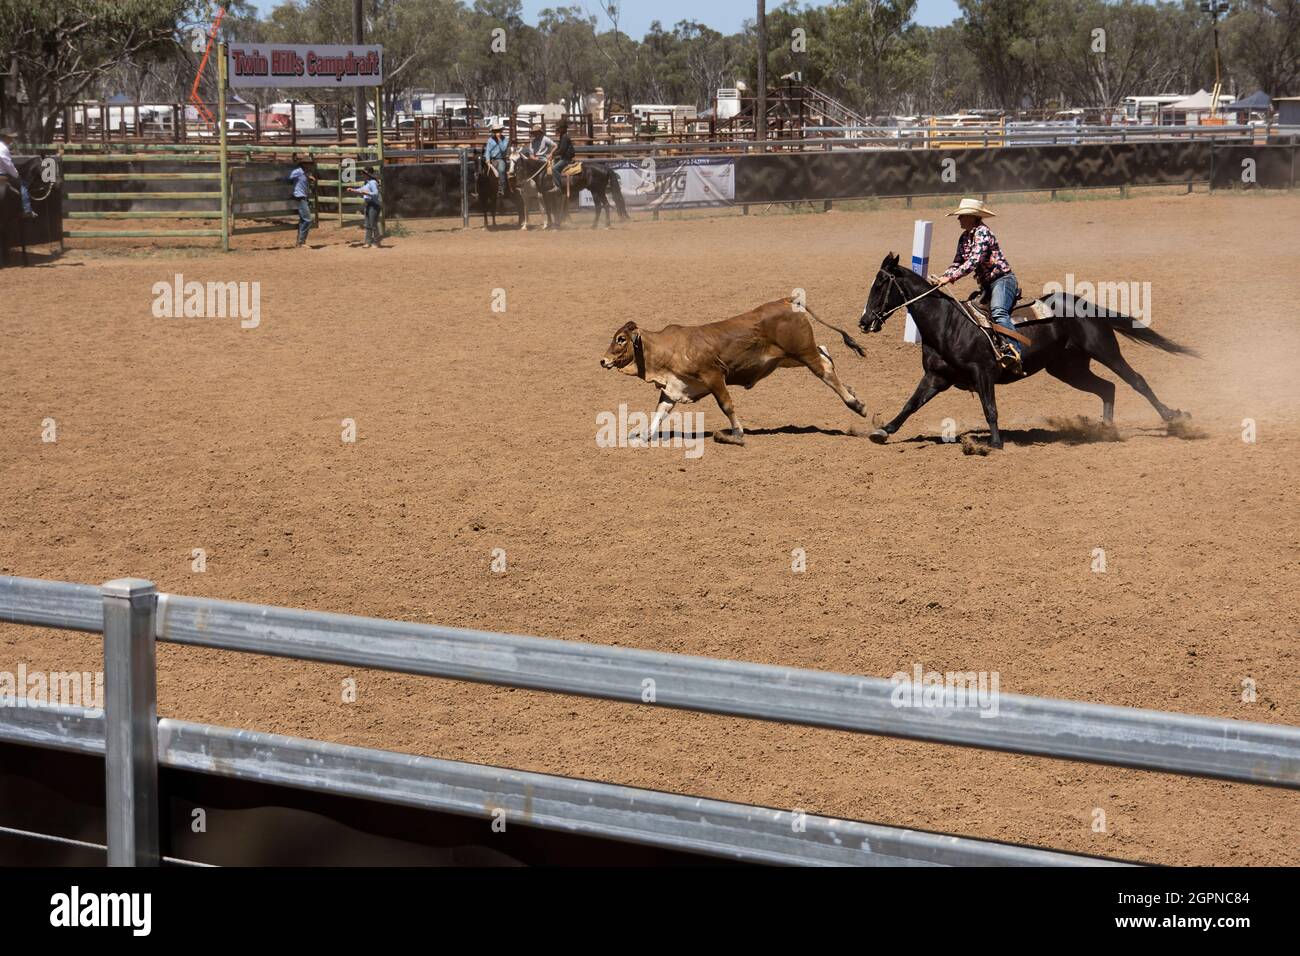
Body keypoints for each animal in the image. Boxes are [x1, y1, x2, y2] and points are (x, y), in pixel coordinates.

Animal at [599, 297, 868, 446]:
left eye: (621, 339)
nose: (603, 361)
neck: (669, 349)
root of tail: (787, 300)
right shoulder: (673, 388)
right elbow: (659, 413)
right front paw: (644, 435)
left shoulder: (714, 376)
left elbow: (726, 405)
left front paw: (737, 432)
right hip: (790, 358)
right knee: (826, 355)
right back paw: (854, 395)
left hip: (803, 352)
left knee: (825, 371)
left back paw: (856, 404)